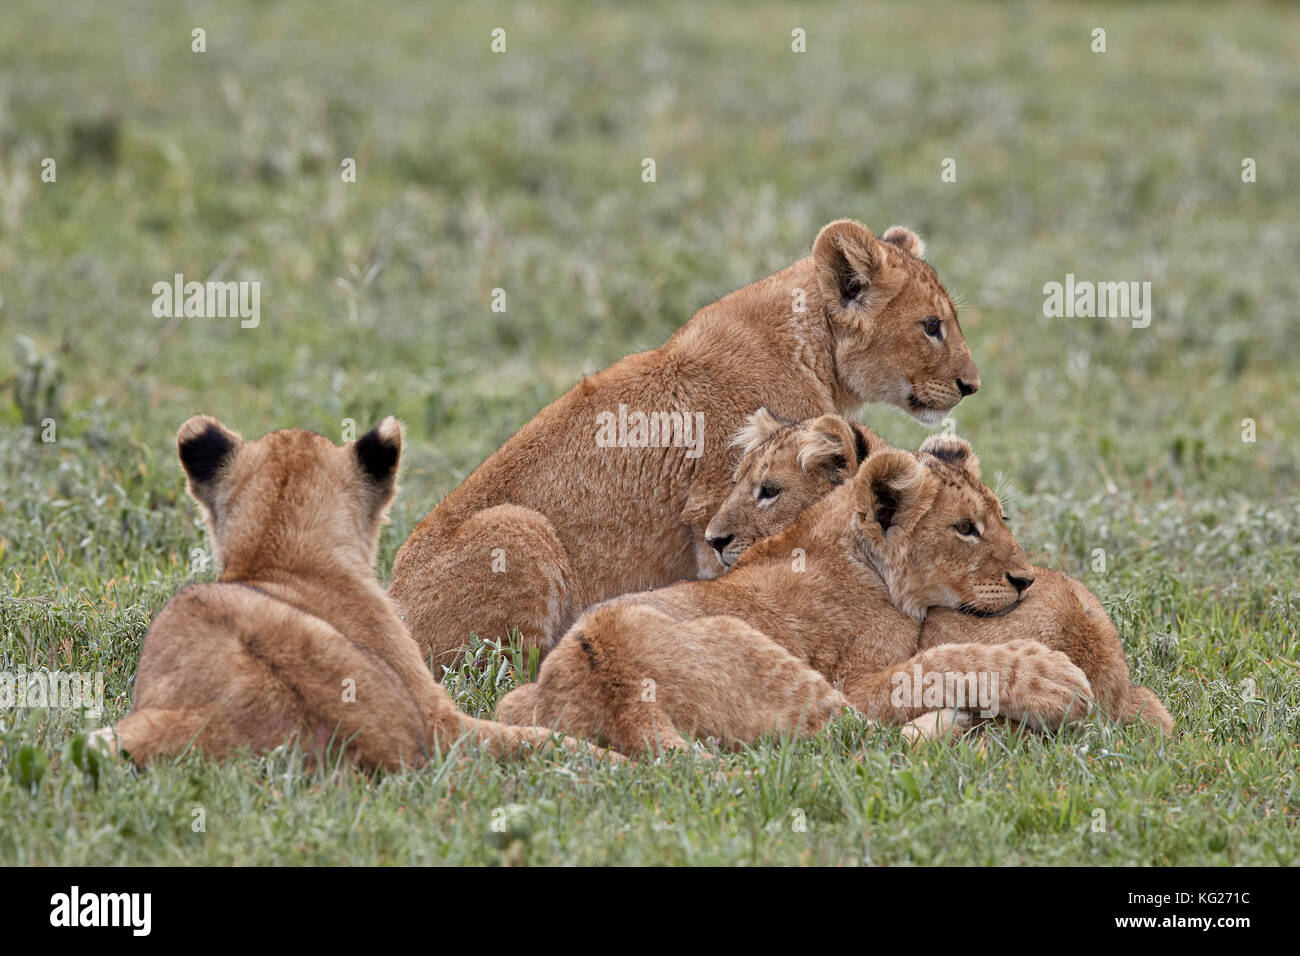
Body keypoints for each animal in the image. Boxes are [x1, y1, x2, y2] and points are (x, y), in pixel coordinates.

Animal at [496, 438, 1094, 756]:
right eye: (965, 529)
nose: (1026, 580)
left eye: (1002, 519)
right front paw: (1051, 680)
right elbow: (942, 661)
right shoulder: (857, 682)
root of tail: (612, 682)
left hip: (516, 702)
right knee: (867, 743)